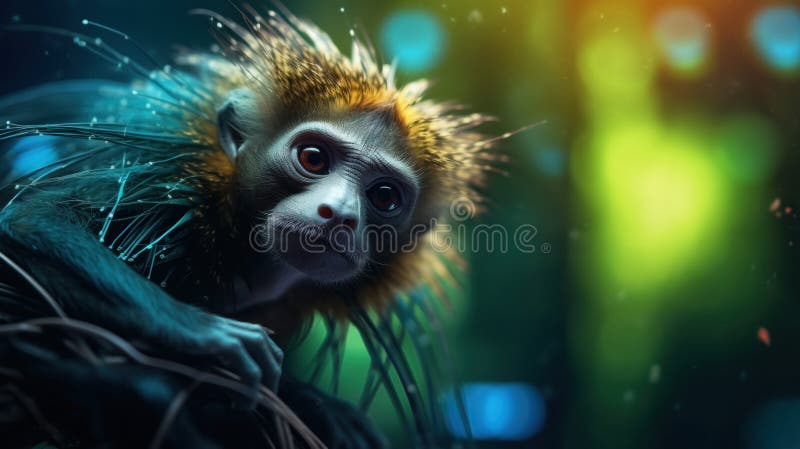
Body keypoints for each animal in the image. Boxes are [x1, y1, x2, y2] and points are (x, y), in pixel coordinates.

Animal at [0, 4, 498, 449]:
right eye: (313, 158)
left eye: (384, 197)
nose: (338, 213)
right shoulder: (166, 181)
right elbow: (30, 222)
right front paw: (200, 331)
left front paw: (318, 406)